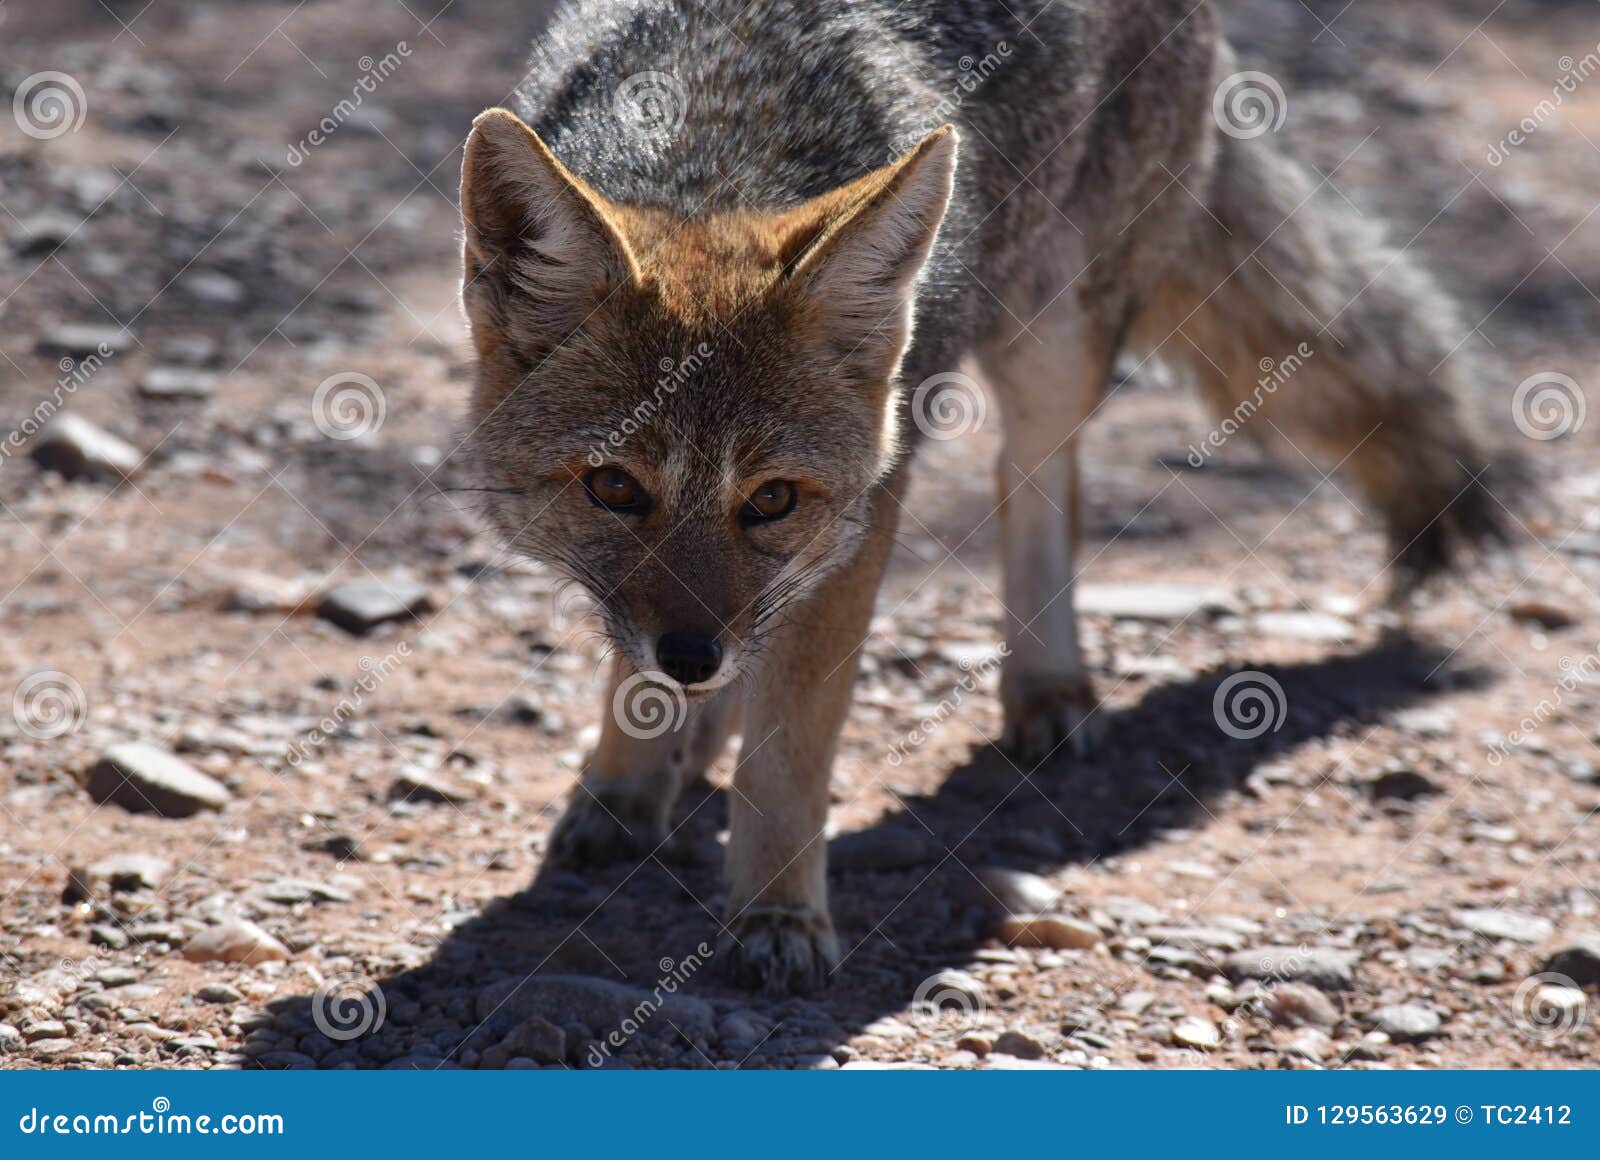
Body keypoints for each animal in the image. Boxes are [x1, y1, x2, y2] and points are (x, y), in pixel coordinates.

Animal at [457, 0, 1516, 993]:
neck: (717, 145)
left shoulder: (861, 523)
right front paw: (626, 782)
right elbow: (650, 667)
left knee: (1039, 481)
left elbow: (791, 752)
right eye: (614, 487)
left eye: (771, 500)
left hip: (1052, 340)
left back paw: (1045, 686)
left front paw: (777, 916)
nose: (691, 657)